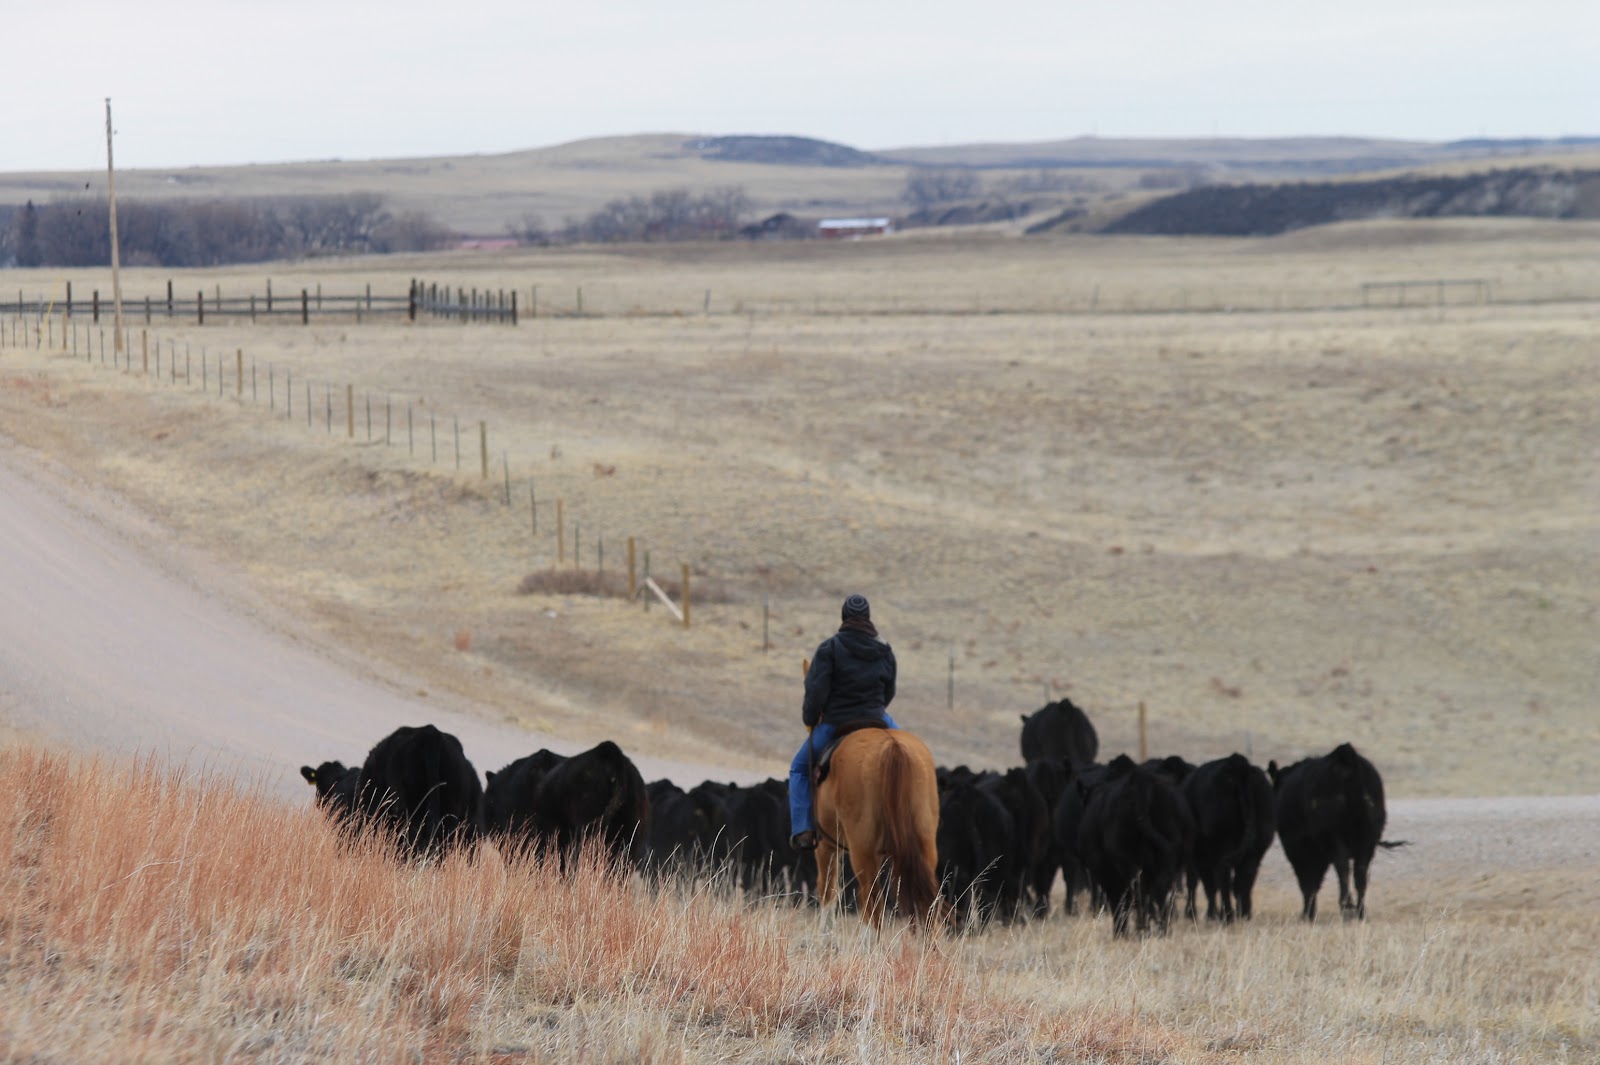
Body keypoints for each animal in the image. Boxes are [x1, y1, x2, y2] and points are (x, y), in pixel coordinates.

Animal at [1076, 754, 1194, 937]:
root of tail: (1142, 783)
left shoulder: (1107, 874)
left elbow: (1119, 902)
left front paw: (1120, 933)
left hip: (1127, 862)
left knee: (1139, 894)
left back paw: (1142, 930)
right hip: (1167, 864)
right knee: (1160, 894)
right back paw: (1161, 930)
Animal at [1182, 753, 1276, 922]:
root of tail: (1238, 765)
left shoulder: (1199, 855)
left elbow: (1203, 883)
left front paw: (1202, 914)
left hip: (1222, 845)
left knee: (1222, 877)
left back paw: (1228, 915)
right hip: (1257, 846)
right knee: (1244, 878)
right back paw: (1244, 914)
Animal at [1268, 742, 1399, 921]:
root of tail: (1345, 757)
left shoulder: (1297, 849)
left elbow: (1308, 881)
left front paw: (1307, 914)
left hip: (1333, 836)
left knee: (1342, 867)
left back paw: (1347, 908)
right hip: (1368, 838)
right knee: (1360, 872)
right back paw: (1360, 912)